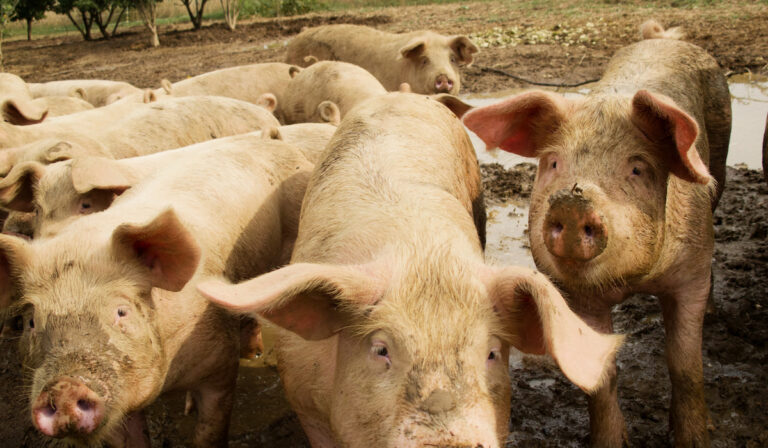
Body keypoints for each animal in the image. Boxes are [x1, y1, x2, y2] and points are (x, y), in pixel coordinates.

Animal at [0, 137, 313, 446]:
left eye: (121, 312)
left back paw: (252, 354)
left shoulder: (218, 364)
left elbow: (209, 430)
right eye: (31, 322)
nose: (63, 388)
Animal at [198, 92, 623, 447]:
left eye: (490, 353)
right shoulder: (306, 401)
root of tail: (403, 93)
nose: (450, 444)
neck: (421, 259)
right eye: (381, 349)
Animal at [463, 20, 731, 447]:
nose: (572, 201)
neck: (633, 282)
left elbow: (686, 365)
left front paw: (693, 439)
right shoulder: (579, 296)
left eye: (637, 168)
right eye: (553, 162)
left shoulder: (691, 271)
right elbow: (601, 372)